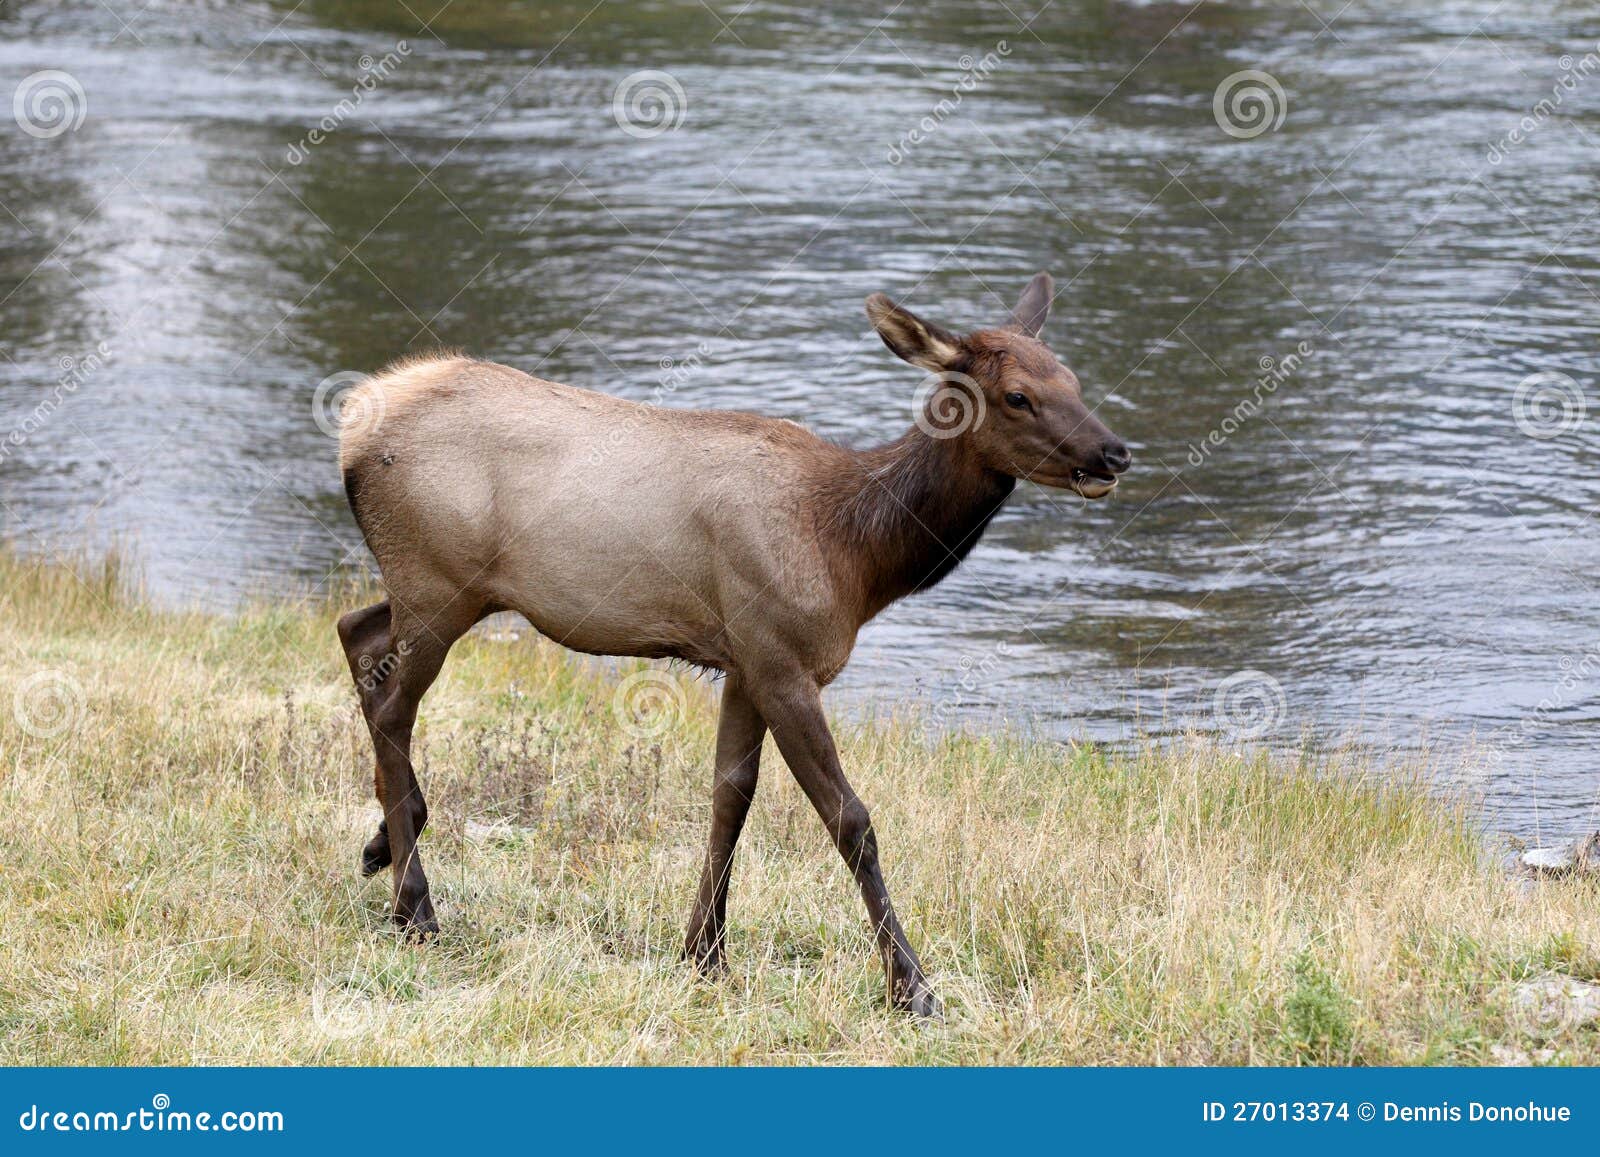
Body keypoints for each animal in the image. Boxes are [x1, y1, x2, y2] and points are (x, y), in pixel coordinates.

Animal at [335, 273, 1130, 1017]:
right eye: (1019, 396)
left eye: (1073, 379)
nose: (1115, 452)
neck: (855, 554)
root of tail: (350, 424)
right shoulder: (781, 657)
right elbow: (851, 819)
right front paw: (913, 986)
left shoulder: (745, 662)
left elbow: (730, 799)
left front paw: (704, 951)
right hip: (438, 581)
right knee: (393, 704)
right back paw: (416, 907)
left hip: (441, 591)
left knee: (356, 632)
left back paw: (382, 846)